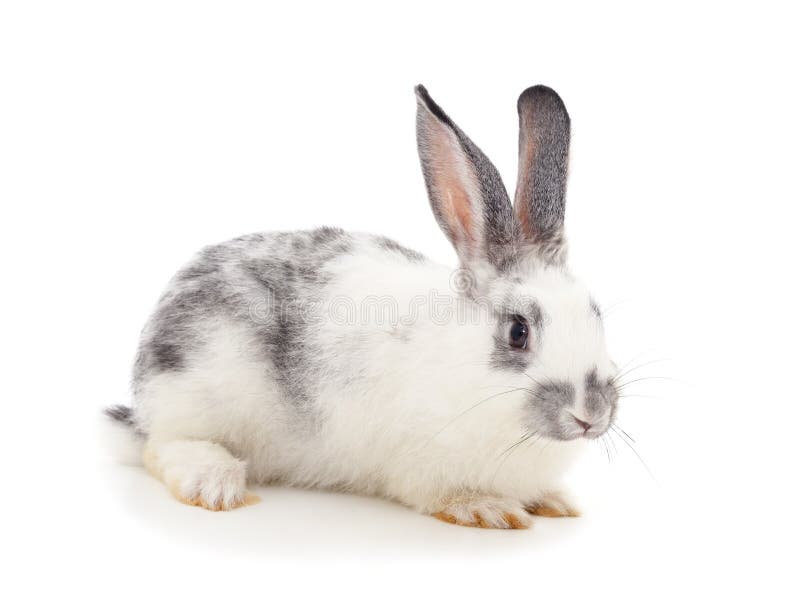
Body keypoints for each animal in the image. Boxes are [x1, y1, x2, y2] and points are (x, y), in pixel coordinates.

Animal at [106, 84, 620, 529]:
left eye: (596, 315)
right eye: (518, 331)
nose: (590, 414)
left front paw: (556, 501)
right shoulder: (421, 463)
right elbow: (442, 493)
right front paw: (487, 509)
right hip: (201, 393)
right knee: (162, 448)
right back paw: (215, 482)